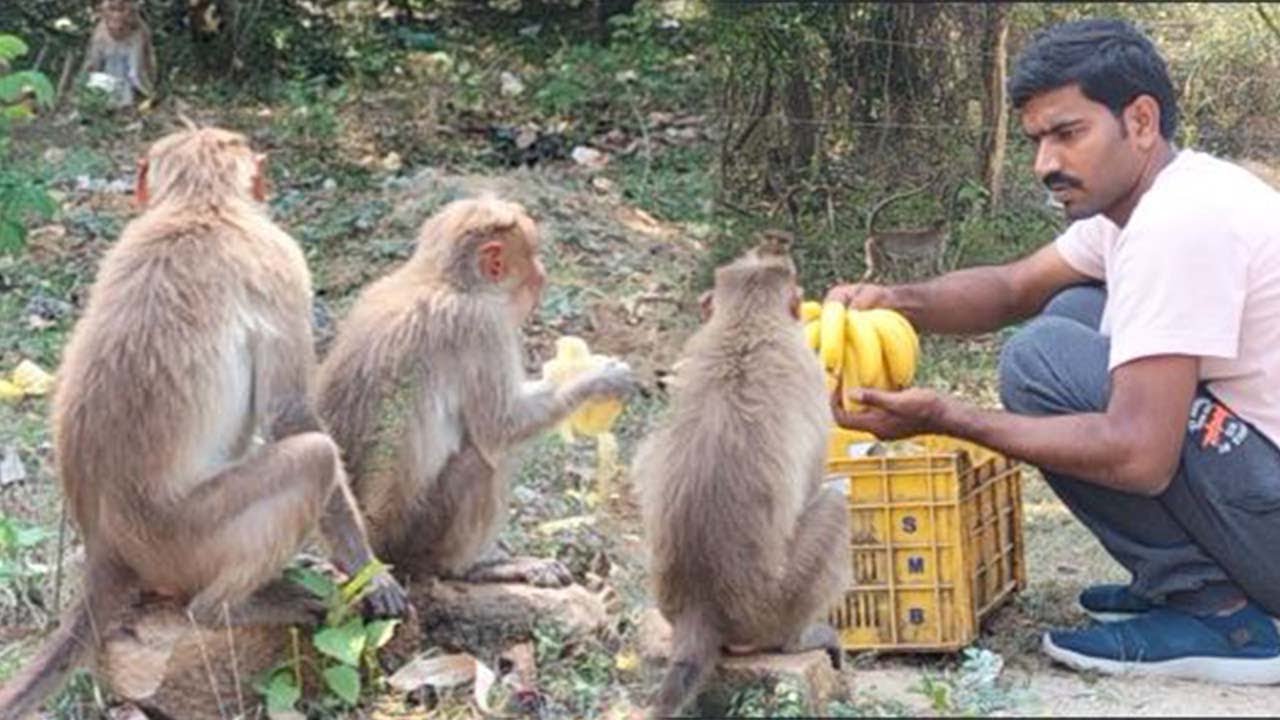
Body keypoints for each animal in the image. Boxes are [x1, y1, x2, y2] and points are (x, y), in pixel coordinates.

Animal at [0, 124, 407, 720]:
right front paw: (369, 573)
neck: (200, 207)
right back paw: (223, 609)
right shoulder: (282, 260)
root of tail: (107, 550)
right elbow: (290, 413)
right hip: (188, 538)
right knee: (313, 458)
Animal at [315, 196, 637, 591]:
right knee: (481, 461)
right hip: (409, 538)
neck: (444, 281)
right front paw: (600, 378)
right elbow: (501, 427)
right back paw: (466, 568)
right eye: (533, 258)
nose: (543, 272)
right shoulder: (482, 324)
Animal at [633, 245, 851, 718]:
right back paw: (800, 640)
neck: (746, 323)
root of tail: (701, 610)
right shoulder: (810, 371)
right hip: (774, 606)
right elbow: (813, 484)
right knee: (835, 503)